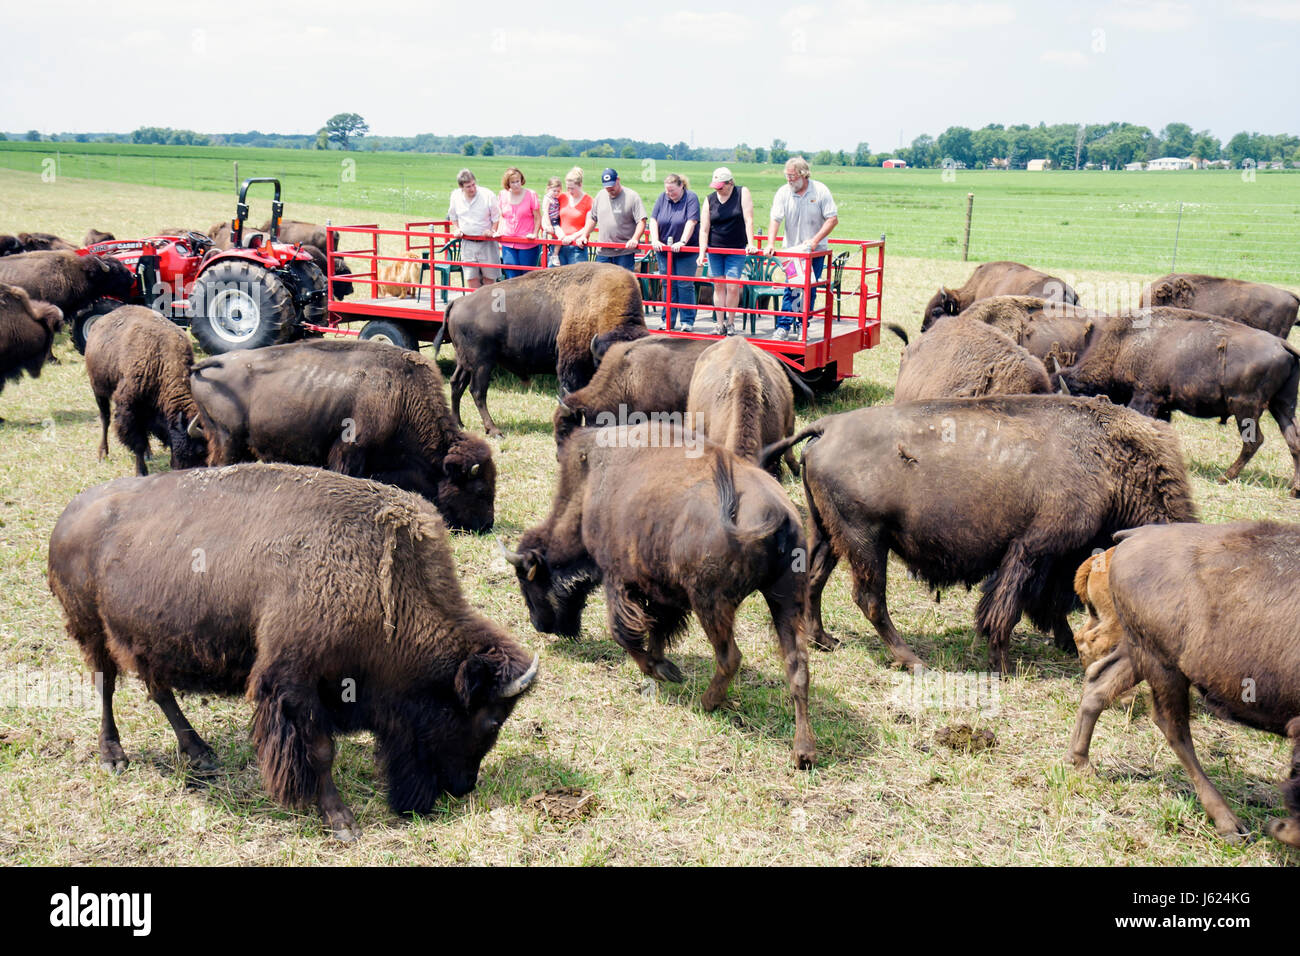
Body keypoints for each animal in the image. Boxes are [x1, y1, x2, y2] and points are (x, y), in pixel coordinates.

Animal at [48, 463, 538, 841]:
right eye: (492, 720)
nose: (463, 787)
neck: (384, 585)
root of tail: (69, 513)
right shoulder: (294, 684)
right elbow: (319, 751)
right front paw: (342, 823)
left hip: (145, 640)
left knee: (158, 691)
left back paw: (201, 753)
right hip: (92, 632)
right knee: (107, 686)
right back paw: (114, 757)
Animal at [189, 339, 496, 532]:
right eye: (480, 489)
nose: (486, 525)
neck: (400, 395)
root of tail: (206, 365)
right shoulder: (349, 452)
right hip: (228, 442)